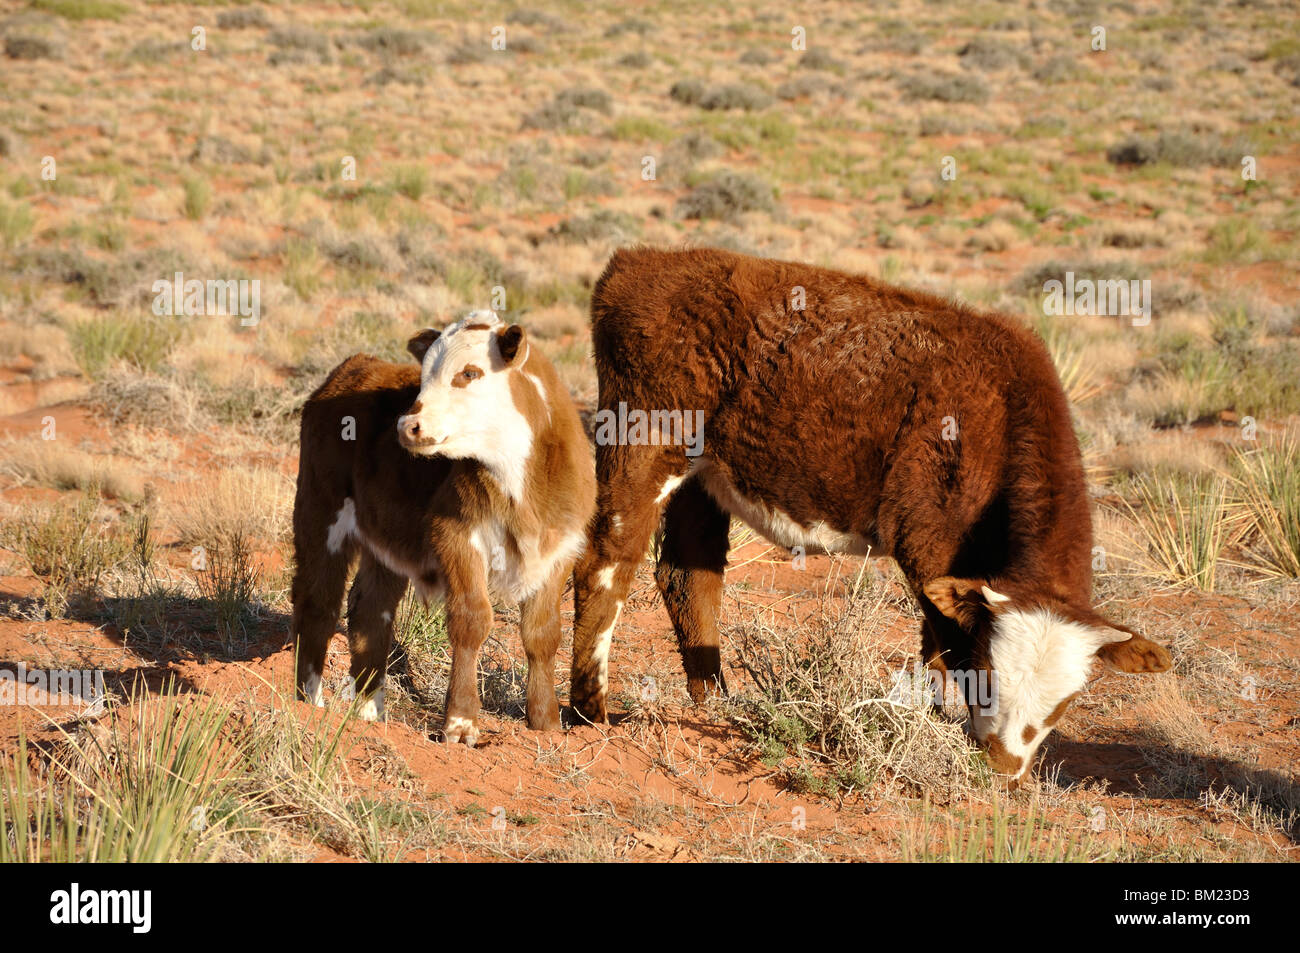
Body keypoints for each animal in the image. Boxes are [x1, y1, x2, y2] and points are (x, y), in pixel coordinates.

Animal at [290, 310, 595, 745]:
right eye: (424, 374)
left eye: (469, 372)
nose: (408, 425)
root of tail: (355, 366)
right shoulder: (456, 535)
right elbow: (472, 619)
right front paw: (461, 721)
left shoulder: (560, 548)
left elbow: (543, 633)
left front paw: (546, 722)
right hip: (319, 512)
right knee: (318, 602)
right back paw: (309, 704)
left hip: (384, 542)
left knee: (371, 613)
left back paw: (369, 713)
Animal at [570, 247, 1172, 785]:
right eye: (990, 674)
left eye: (1064, 704)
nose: (1004, 769)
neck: (999, 408)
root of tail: (641, 260)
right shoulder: (928, 542)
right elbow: (944, 649)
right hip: (643, 438)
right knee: (604, 567)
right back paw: (588, 713)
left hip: (705, 473)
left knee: (687, 576)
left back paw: (714, 704)